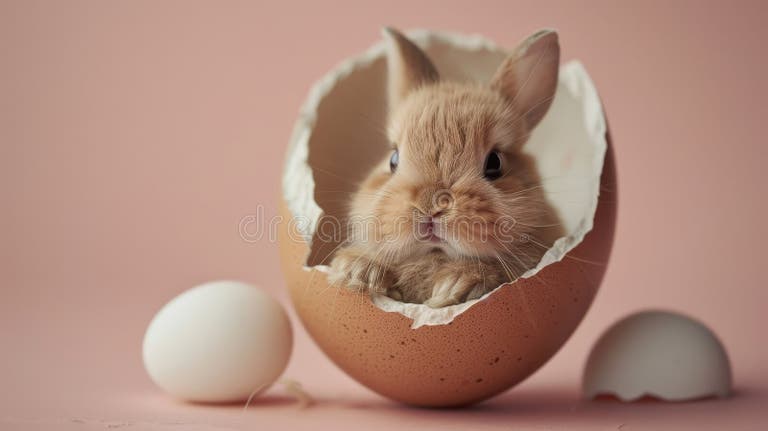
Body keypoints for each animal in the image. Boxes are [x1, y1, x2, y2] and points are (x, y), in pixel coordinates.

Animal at [329, 27, 565, 308]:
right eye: (393, 160)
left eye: (495, 163)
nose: (430, 204)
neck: (435, 254)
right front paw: (359, 271)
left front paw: (454, 285)